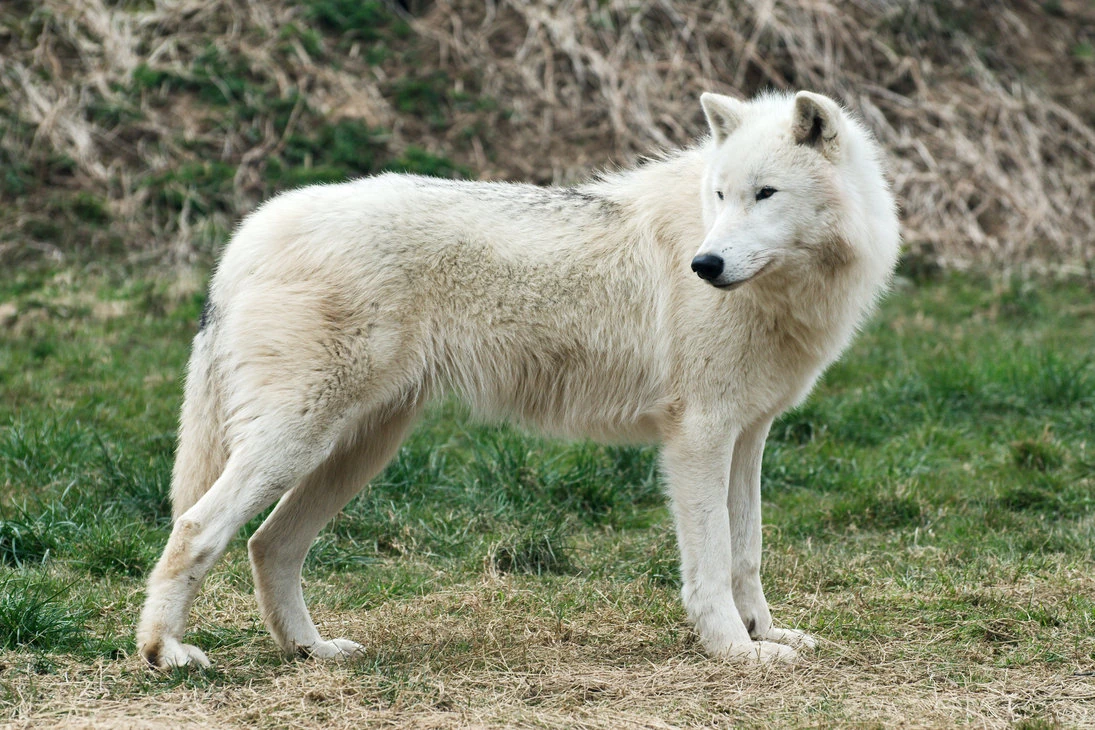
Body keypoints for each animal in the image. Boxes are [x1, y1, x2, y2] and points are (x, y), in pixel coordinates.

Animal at [136, 90, 900, 669]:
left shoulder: (748, 436)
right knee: (196, 525)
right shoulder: (698, 439)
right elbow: (711, 563)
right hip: (298, 444)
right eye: (720, 195)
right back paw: (165, 652)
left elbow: (747, 554)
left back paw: (312, 650)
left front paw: (766, 634)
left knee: (269, 544)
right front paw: (734, 651)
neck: (789, 295)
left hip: (354, 452)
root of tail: (246, 236)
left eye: (764, 194)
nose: (704, 265)